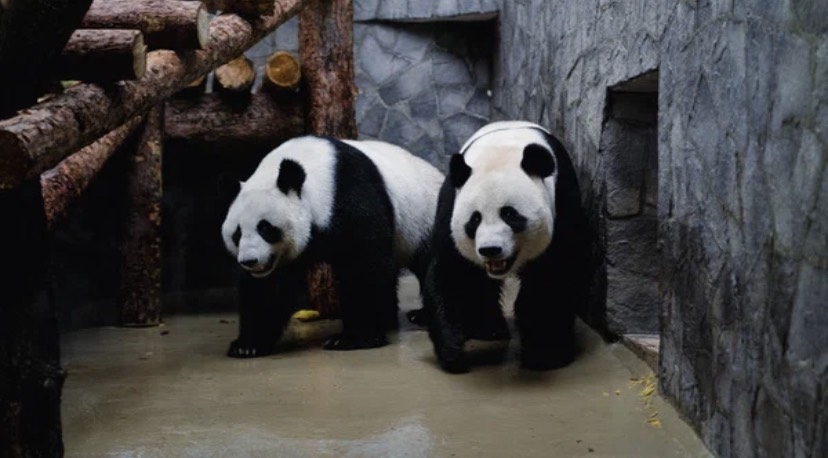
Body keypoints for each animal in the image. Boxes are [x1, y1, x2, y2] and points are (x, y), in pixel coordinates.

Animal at [217, 136, 444, 358]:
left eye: (265, 228)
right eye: (237, 233)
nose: (249, 261)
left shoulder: (349, 195)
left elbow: (364, 264)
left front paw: (353, 338)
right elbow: (268, 287)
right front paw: (248, 345)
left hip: (426, 219)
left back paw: (422, 316)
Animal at [420, 121, 588, 372]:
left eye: (509, 214)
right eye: (475, 219)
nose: (490, 249)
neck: (501, 151)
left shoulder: (561, 201)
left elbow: (553, 277)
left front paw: (545, 355)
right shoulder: (451, 204)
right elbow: (452, 272)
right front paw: (452, 351)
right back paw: (488, 329)